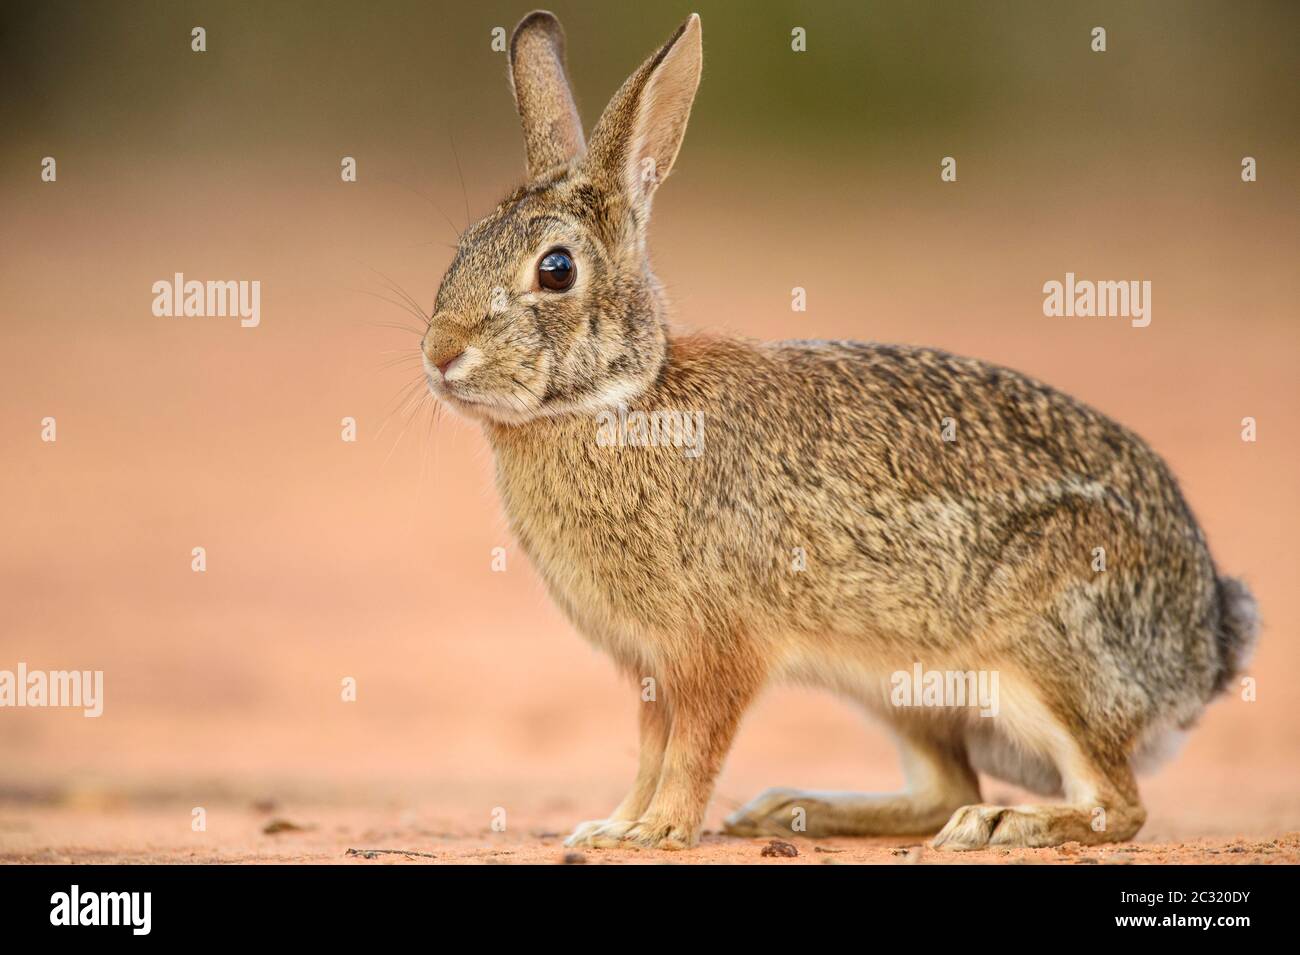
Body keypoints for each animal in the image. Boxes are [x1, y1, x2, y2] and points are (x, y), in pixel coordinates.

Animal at [419, 10, 1259, 851]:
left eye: (556, 269)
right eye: (464, 247)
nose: (440, 354)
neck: (620, 398)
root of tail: (1204, 643)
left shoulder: (717, 649)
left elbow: (692, 749)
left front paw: (654, 832)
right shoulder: (653, 665)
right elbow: (651, 748)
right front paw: (614, 823)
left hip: (1041, 654)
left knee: (1114, 801)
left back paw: (997, 822)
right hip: (902, 688)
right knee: (942, 787)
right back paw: (796, 806)